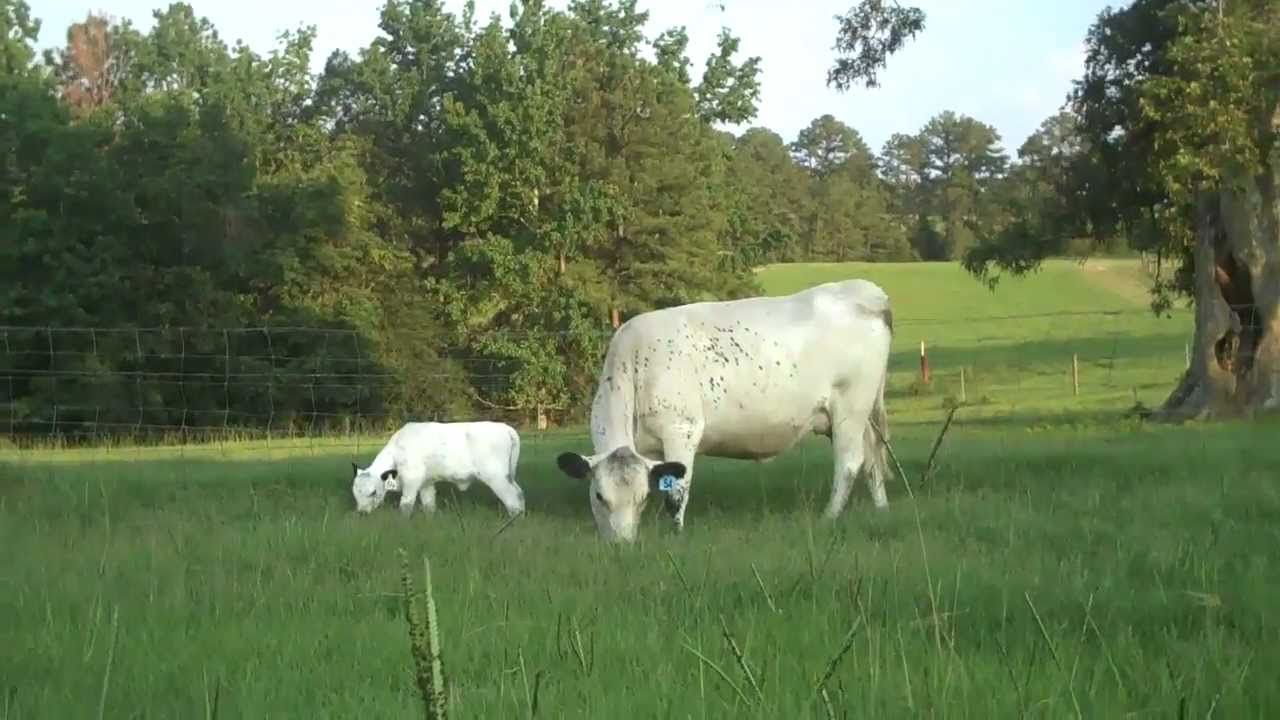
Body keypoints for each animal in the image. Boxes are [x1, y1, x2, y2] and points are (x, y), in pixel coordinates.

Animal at [351, 421, 525, 517]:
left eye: (373, 492)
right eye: (355, 494)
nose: (362, 513)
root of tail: (505, 427)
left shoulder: (412, 481)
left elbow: (406, 505)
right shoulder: (426, 483)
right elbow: (429, 505)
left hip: (497, 477)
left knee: (513, 498)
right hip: (506, 476)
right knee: (519, 493)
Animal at [555, 279, 893, 543]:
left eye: (642, 498)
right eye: (599, 496)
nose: (621, 544)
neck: (635, 364)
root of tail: (864, 290)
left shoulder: (682, 430)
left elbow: (678, 491)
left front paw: (675, 534)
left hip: (850, 408)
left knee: (849, 463)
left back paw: (828, 517)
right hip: (863, 415)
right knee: (872, 456)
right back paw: (881, 509)